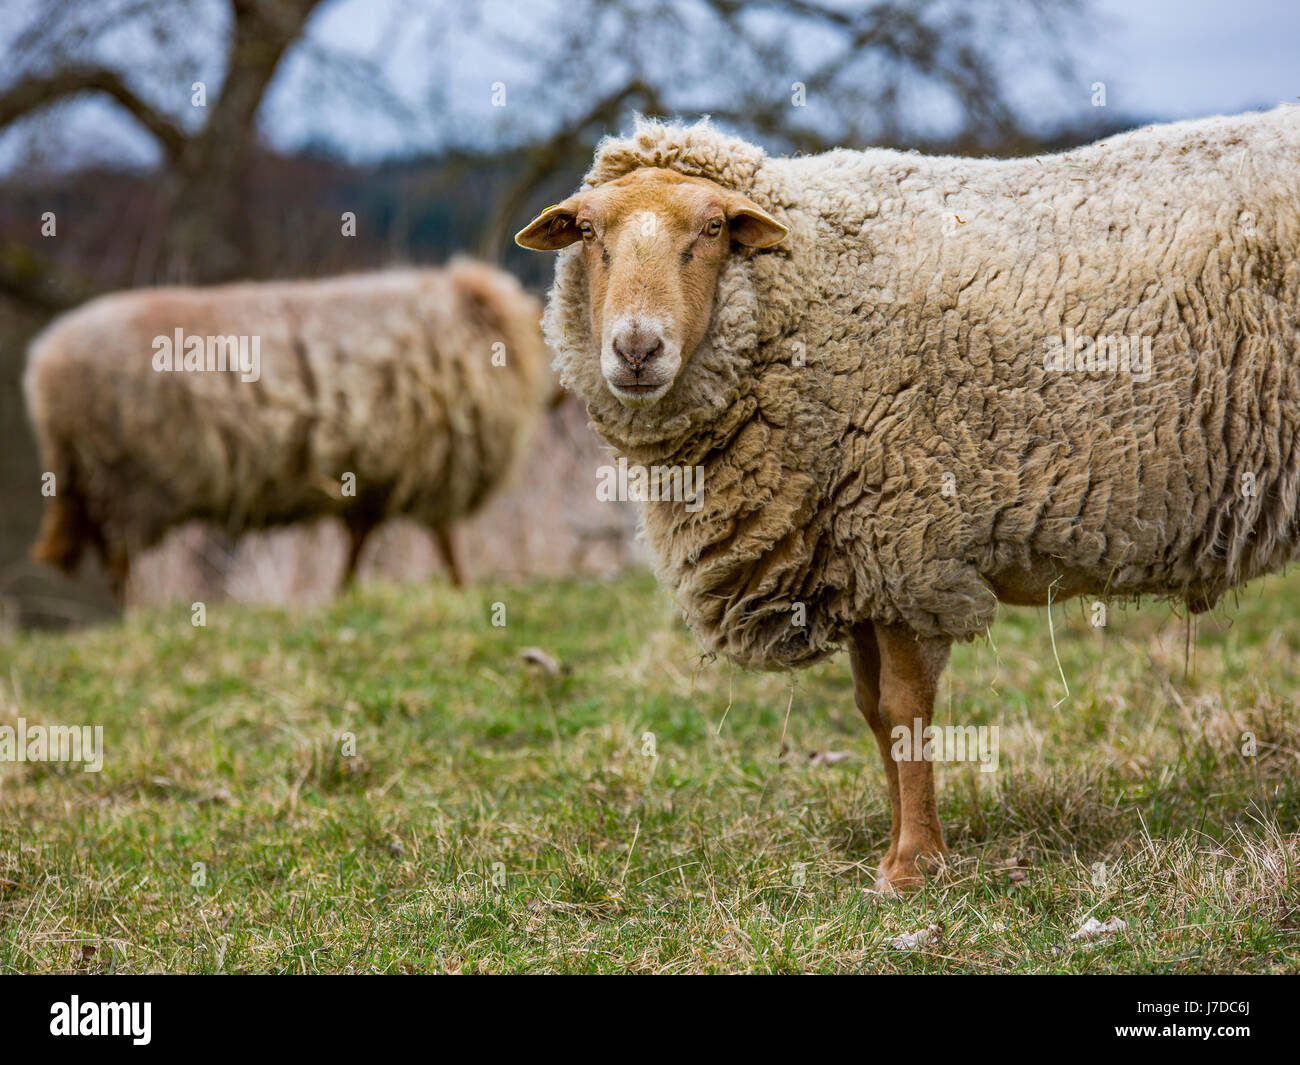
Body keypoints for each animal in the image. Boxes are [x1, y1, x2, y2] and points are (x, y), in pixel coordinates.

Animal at [25, 259, 553, 597]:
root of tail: (43, 365)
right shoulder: (435, 468)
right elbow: (445, 541)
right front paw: (463, 589)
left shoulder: (372, 478)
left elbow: (360, 540)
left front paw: (344, 592)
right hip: (127, 483)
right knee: (122, 562)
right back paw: (138, 615)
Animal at [517, 107, 1300, 890]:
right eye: (586, 230)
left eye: (712, 228)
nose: (636, 350)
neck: (807, 290)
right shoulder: (853, 555)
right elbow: (871, 711)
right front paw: (895, 848)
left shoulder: (907, 544)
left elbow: (904, 712)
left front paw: (915, 865)